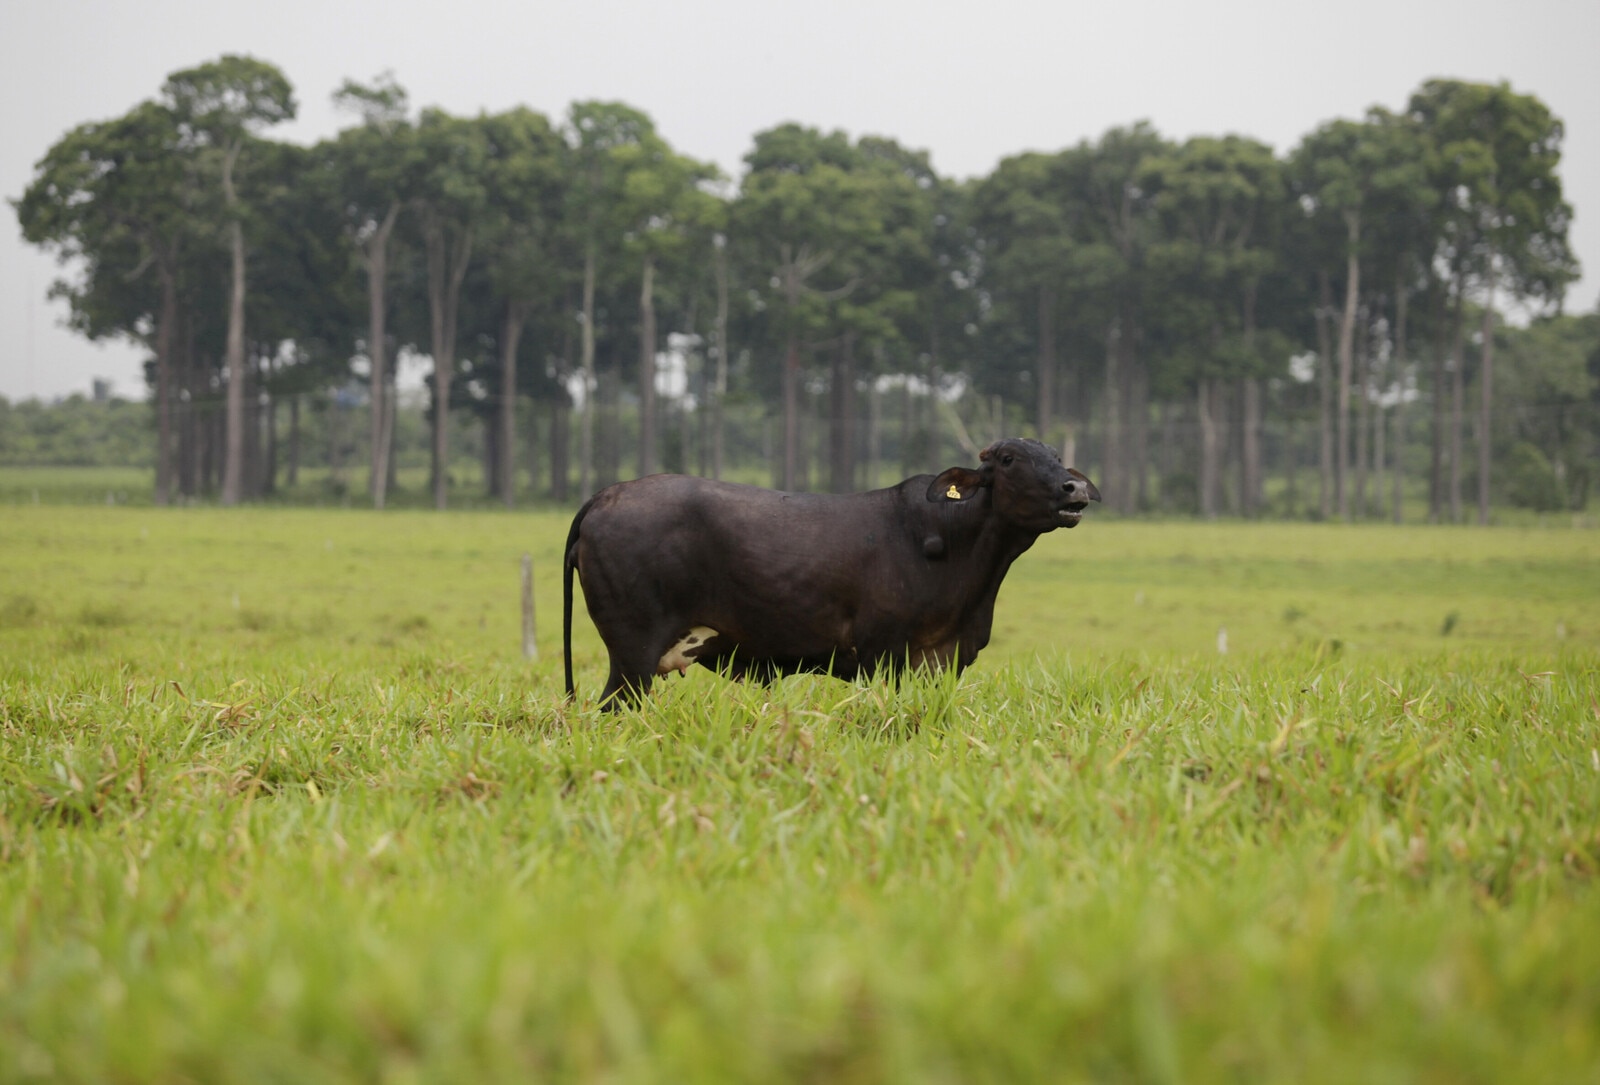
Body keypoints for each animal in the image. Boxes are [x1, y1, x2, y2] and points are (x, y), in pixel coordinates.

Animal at [562, 437, 1100, 707]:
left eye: (1058, 457)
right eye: (1009, 459)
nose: (1074, 488)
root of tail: (607, 495)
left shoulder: (942, 660)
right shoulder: (883, 652)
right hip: (632, 654)